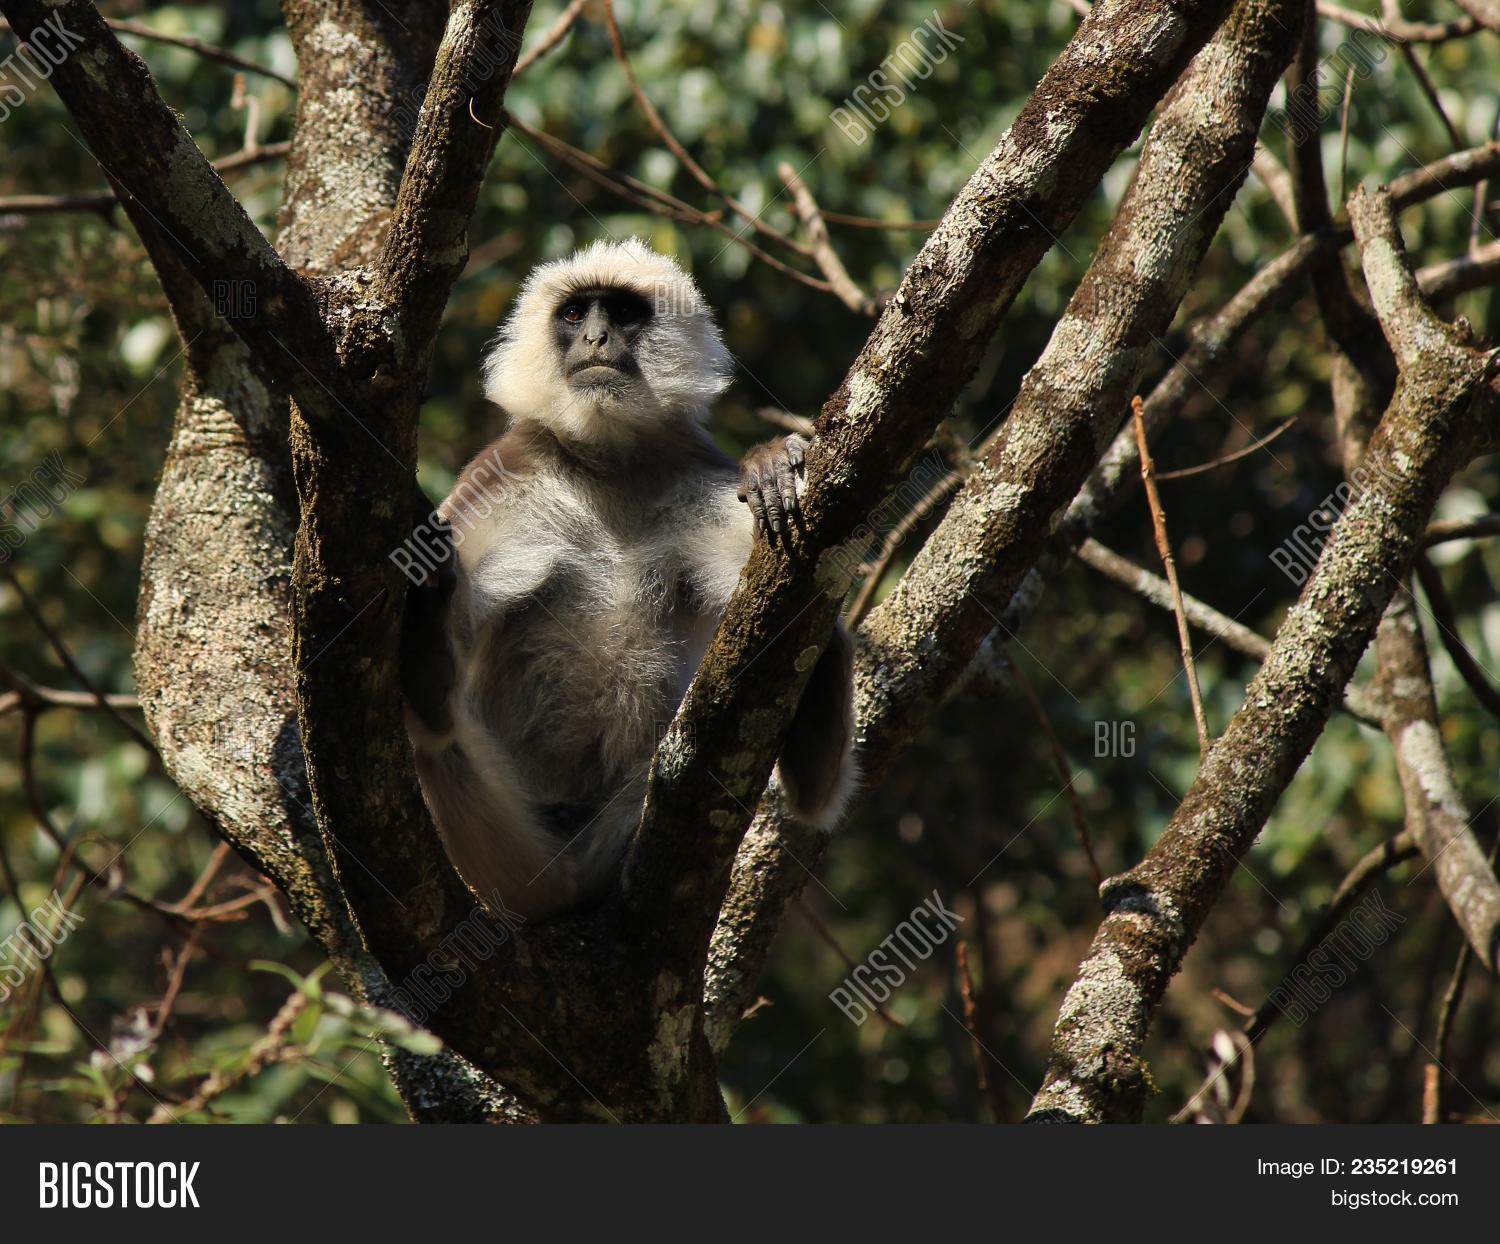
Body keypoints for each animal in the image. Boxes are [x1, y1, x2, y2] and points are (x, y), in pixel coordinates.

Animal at [400, 239, 857, 920]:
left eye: (621, 311)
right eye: (574, 315)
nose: (595, 337)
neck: (609, 465)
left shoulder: (703, 475)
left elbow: (812, 801)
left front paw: (773, 464)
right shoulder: (503, 472)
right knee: (437, 732)